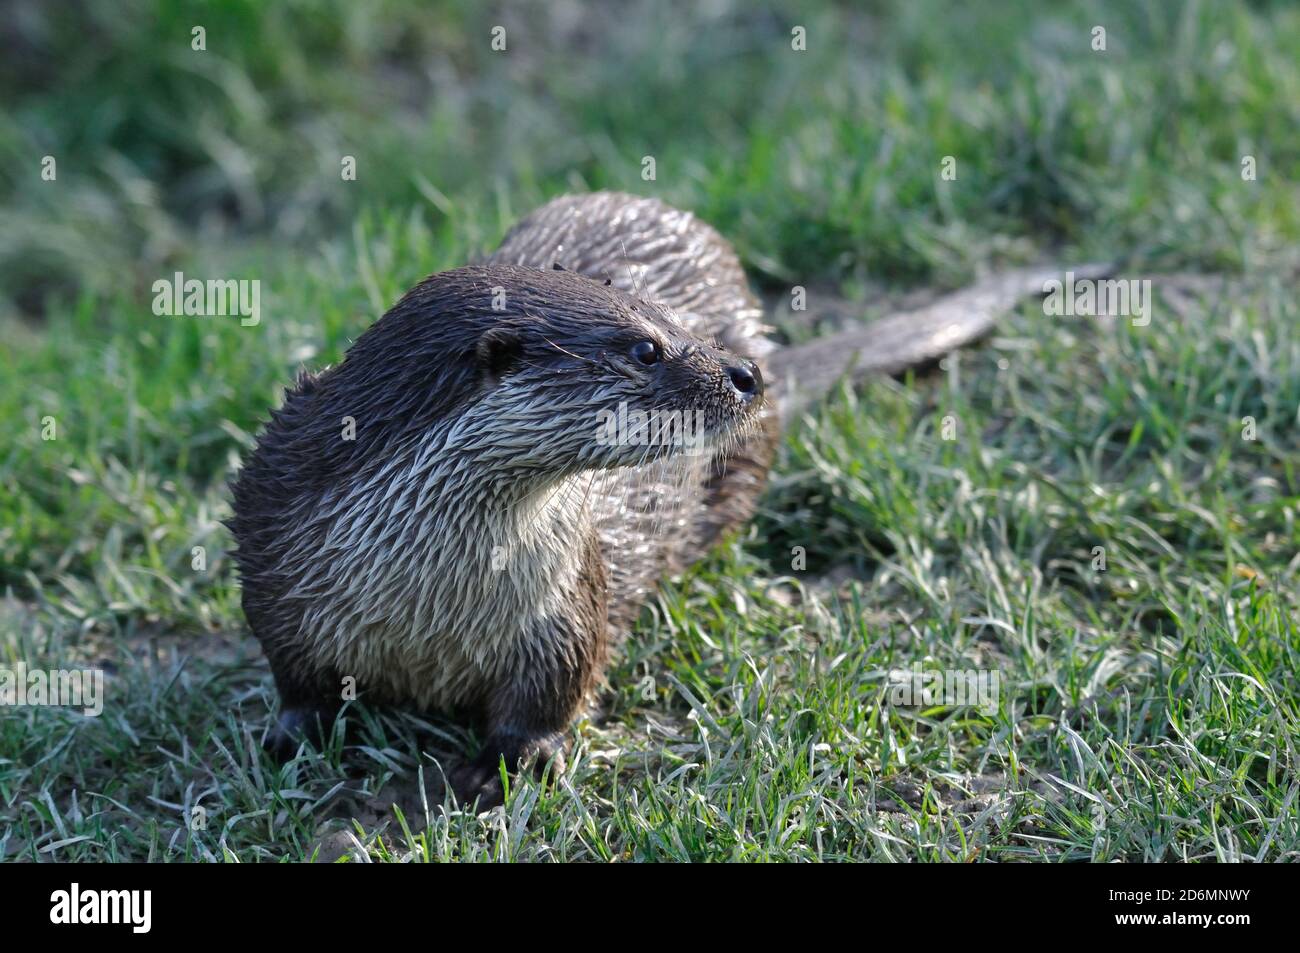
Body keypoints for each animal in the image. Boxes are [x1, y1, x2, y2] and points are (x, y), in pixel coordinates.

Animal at [229, 191, 1079, 804]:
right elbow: (295, 671)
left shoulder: (564, 603)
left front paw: (515, 761)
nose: (744, 374)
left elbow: (556, 688)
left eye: (673, 321)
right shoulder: (272, 549)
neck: (426, 606)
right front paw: (291, 734)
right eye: (644, 347)